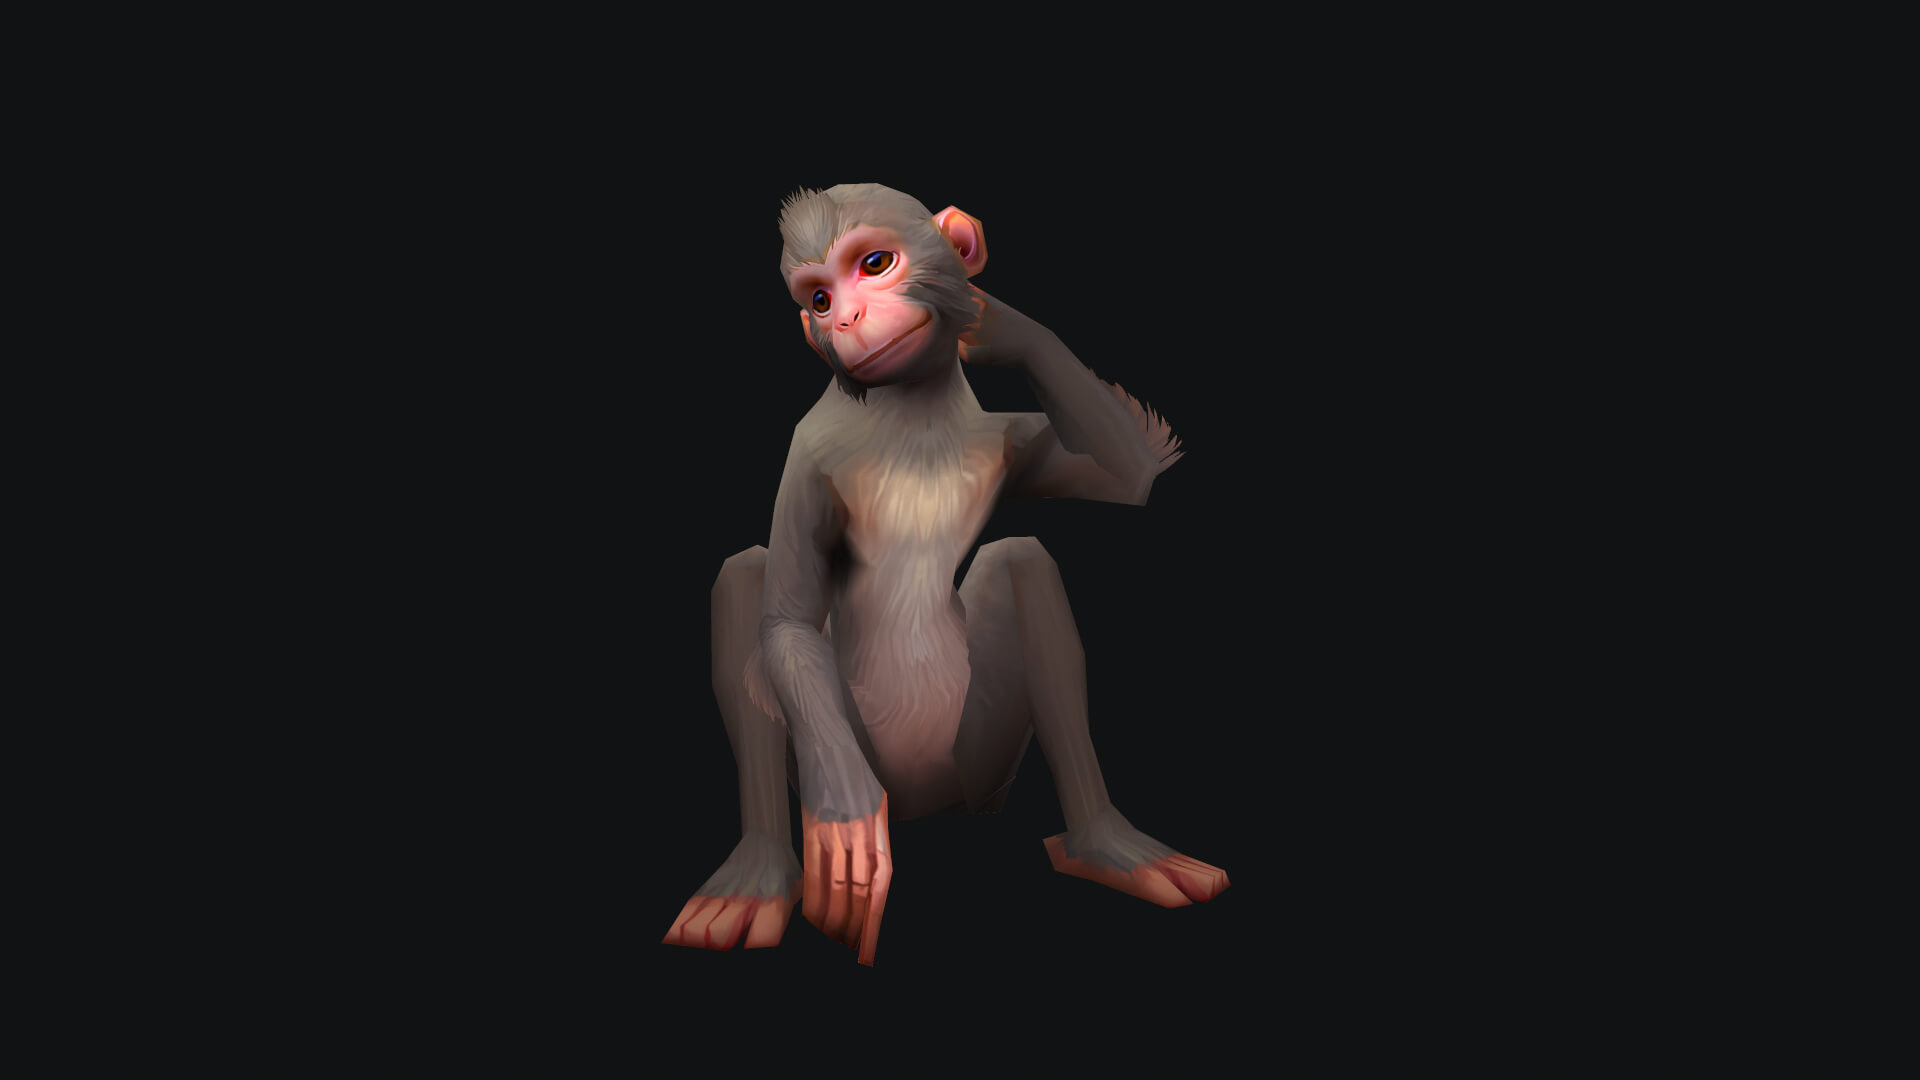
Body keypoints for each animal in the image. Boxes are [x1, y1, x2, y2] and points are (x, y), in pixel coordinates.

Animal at [662, 183, 1228, 965]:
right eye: (817, 300)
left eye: (874, 264)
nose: (846, 318)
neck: (913, 410)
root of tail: (927, 808)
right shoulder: (807, 452)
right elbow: (788, 621)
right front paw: (846, 818)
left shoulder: (1015, 439)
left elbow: (1126, 474)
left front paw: (992, 320)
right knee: (747, 575)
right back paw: (758, 878)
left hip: (980, 768)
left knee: (1023, 560)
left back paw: (1108, 847)